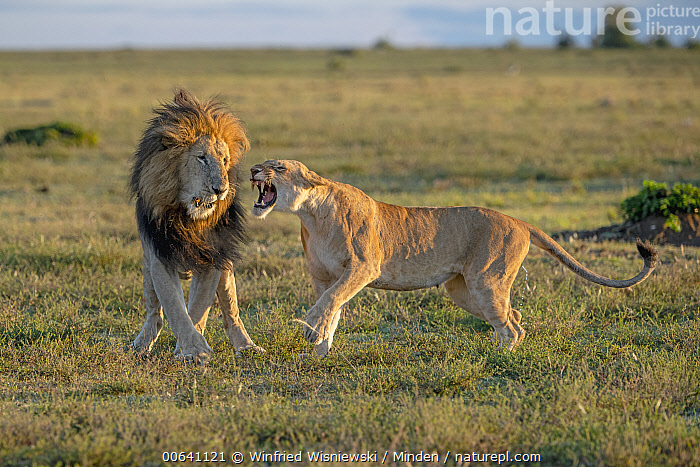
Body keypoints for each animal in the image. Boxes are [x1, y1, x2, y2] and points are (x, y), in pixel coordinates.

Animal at [128, 88, 262, 363]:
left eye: (224, 160)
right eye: (201, 158)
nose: (220, 189)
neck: (187, 220)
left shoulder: (213, 258)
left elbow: (198, 307)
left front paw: (190, 350)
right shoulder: (159, 258)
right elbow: (175, 308)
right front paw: (193, 350)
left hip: (227, 271)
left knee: (231, 312)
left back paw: (247, 346)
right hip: (146, 268)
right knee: (154, 313)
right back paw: (140, 345)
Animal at [250, 159, 658, 357]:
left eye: (279, 167)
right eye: (263, 162)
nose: (253, 170)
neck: (310, 214)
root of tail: (520, 221)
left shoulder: (364, 267)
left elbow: (327, 303)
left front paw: (310, 332)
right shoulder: (325, 276)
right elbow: (331, 307)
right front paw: (318, 353)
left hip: (485, 280)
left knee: (512, 324)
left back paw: (501, 358)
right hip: (461, 290)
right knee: (514, 316)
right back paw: (498, 349)